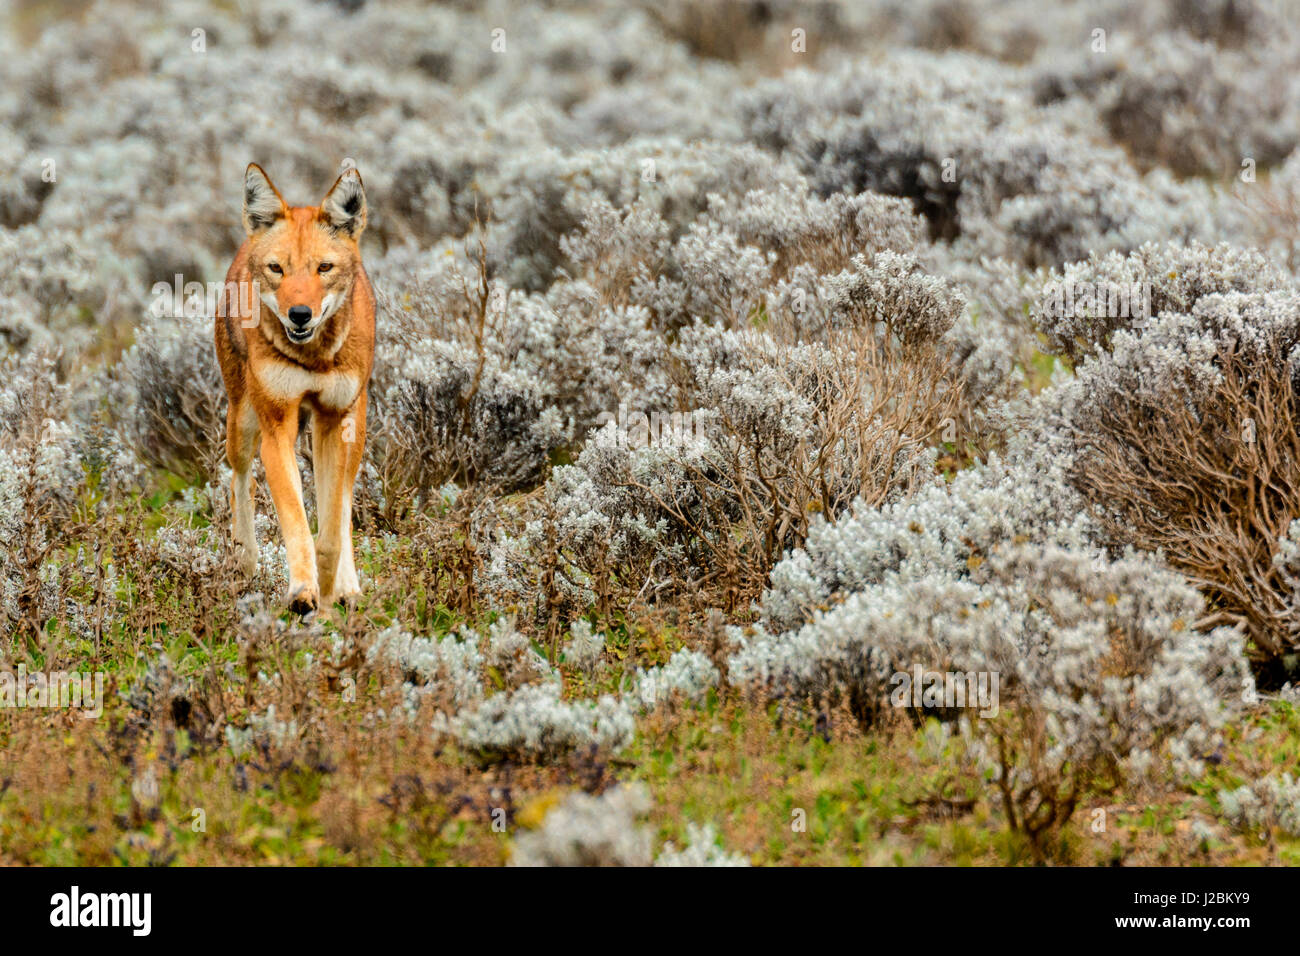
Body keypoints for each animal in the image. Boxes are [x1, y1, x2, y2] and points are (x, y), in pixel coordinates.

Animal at [213, 163, 374, 614]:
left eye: (323, 268)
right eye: (277, 269)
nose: (299, 314)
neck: (314, 359)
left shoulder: (336, 423)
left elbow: (333, 525)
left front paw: (332, 587)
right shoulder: (277, 429)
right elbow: (296, 520)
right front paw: (304, 591)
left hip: (350, 430)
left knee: (344, 501)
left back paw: (348, 588)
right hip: (243, 425)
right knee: (241, 481)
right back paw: (245, 561)